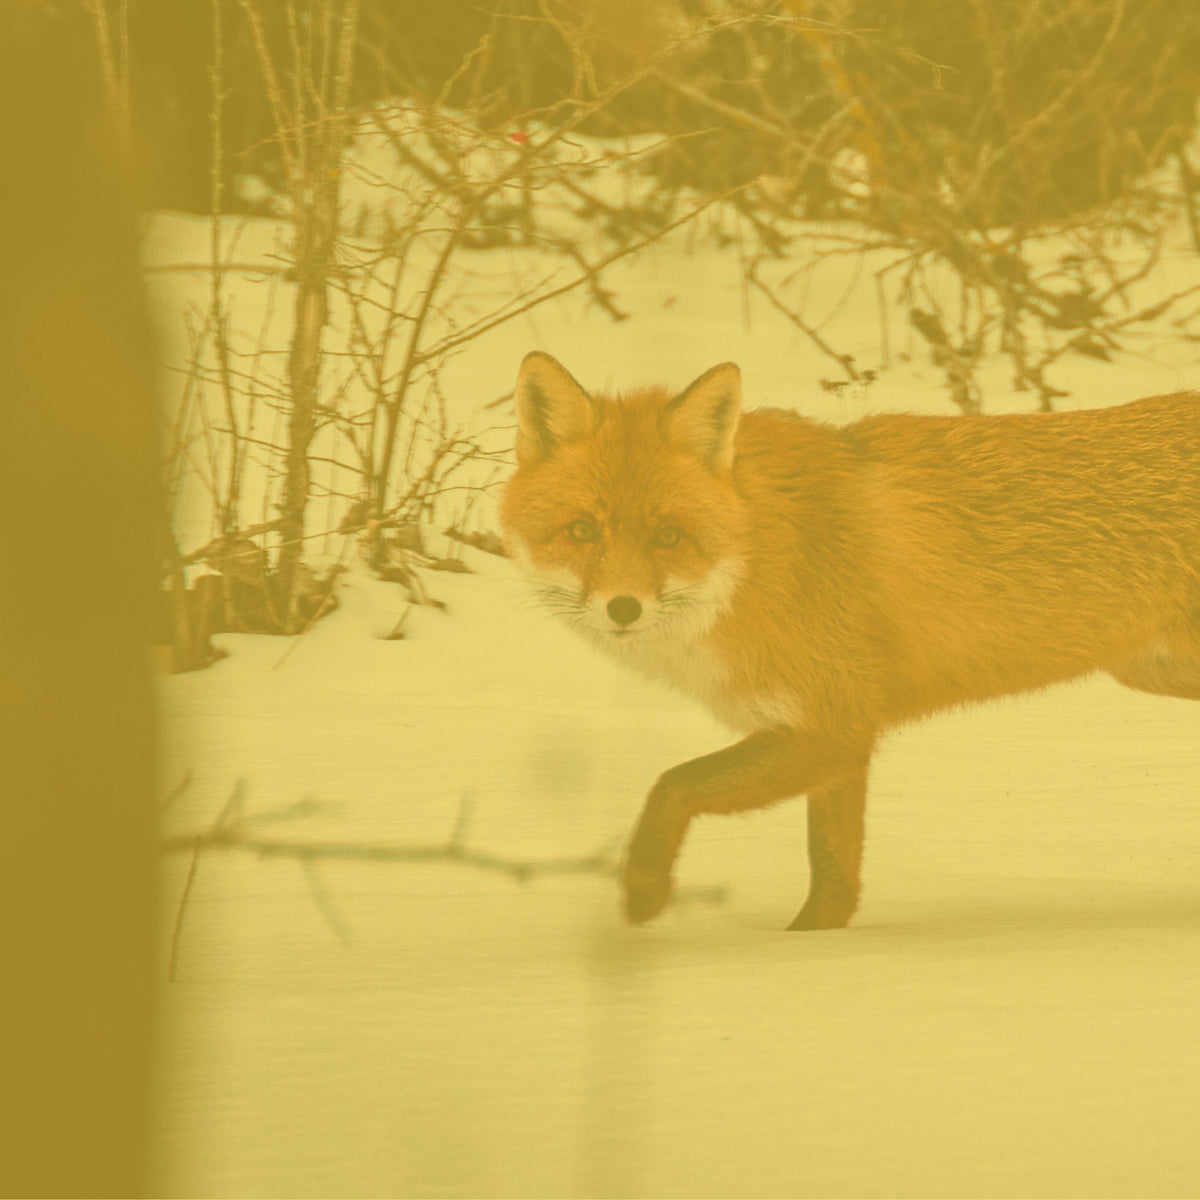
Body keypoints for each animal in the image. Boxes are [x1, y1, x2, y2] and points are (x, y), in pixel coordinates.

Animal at [499, 351, 1200, 931]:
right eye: (582, 531)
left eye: (668, 536)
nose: (623, 608)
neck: (757, 557)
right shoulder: (833, 733)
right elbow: (834, 875)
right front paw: (816, 948)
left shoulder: (832, 725)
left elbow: (673, 784)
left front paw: (644, 892)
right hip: (1152, 671)